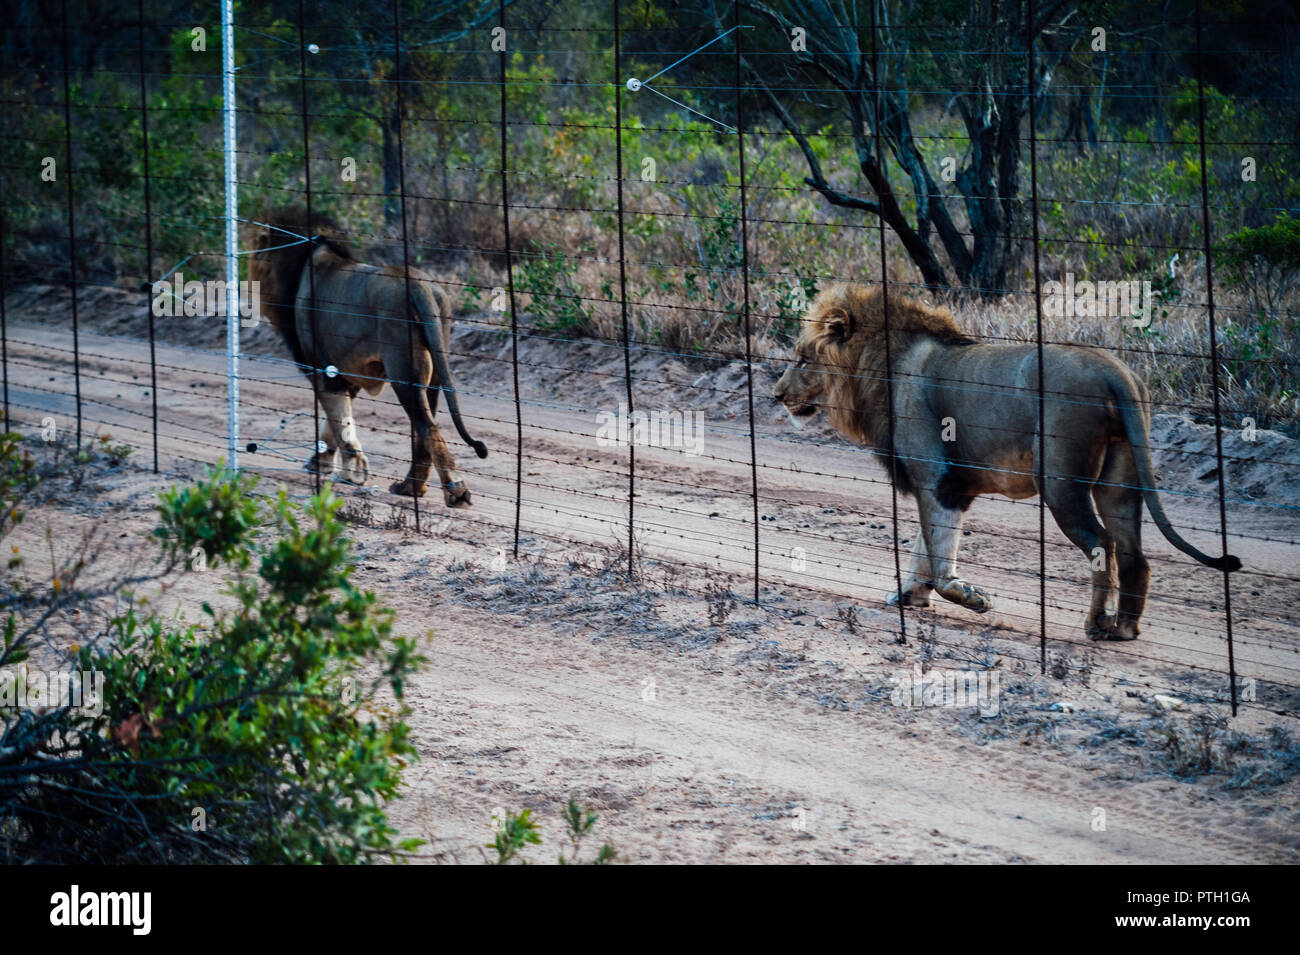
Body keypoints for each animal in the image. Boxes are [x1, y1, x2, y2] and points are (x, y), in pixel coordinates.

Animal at [247, 208, 487, 505]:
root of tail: (418, 285)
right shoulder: (343, 373)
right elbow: (334, 423)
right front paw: (321, 463)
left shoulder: (319, 367)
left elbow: (339, 421)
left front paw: (352, 473)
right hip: (434, 374)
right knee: (425, 428)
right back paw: (410, 488)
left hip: (404, 372)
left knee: (427, 427)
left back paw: (455, 491)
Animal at [773, 282, 1241, 640]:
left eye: (802, 358)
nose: (777, 394)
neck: (873, 367)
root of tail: (1116, 371)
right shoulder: (940, 484)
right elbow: (923, 547)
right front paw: (910, 596)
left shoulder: (935, 477)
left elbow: (939, 555)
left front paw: (970, 597)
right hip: (1119, 483)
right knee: (1133, 554)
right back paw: (1123, 628)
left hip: (1060, 481)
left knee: (1101, 544)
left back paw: (1095, 623)